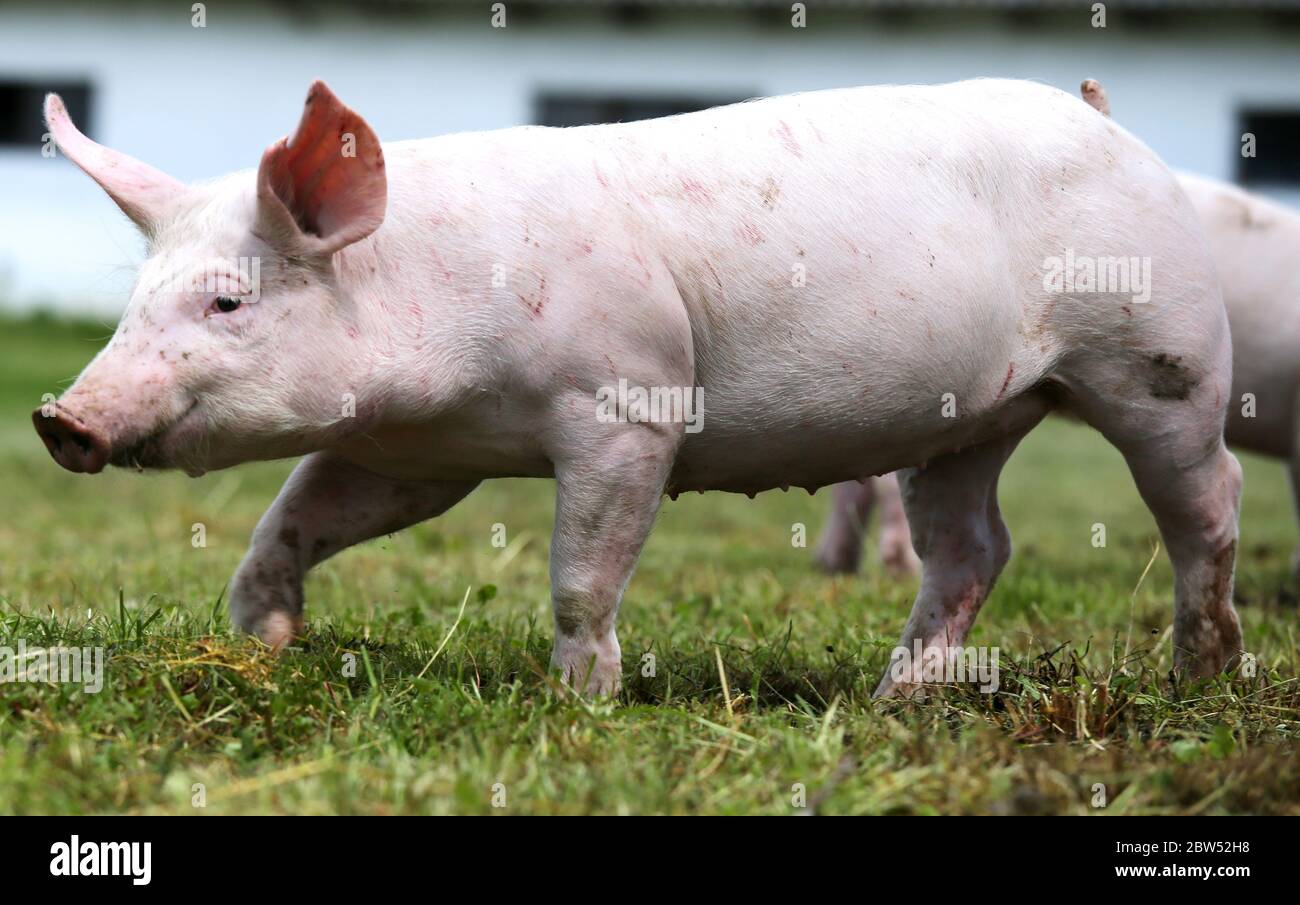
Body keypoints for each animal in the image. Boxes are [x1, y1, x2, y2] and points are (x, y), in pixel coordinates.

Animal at [34, 78, 1244, 697]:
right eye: (139, 294)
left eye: (227, 302)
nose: (59, 418)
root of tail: (1101, 113)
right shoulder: (417, 453)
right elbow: (296, 516)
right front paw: (259, 640)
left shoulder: (629, 406)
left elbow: (582, 574)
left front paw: (579, 703)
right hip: (968, 418)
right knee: (974, 545)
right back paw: (894, 698)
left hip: (1161, 357)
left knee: (1207, 496)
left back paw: (1201, 673)